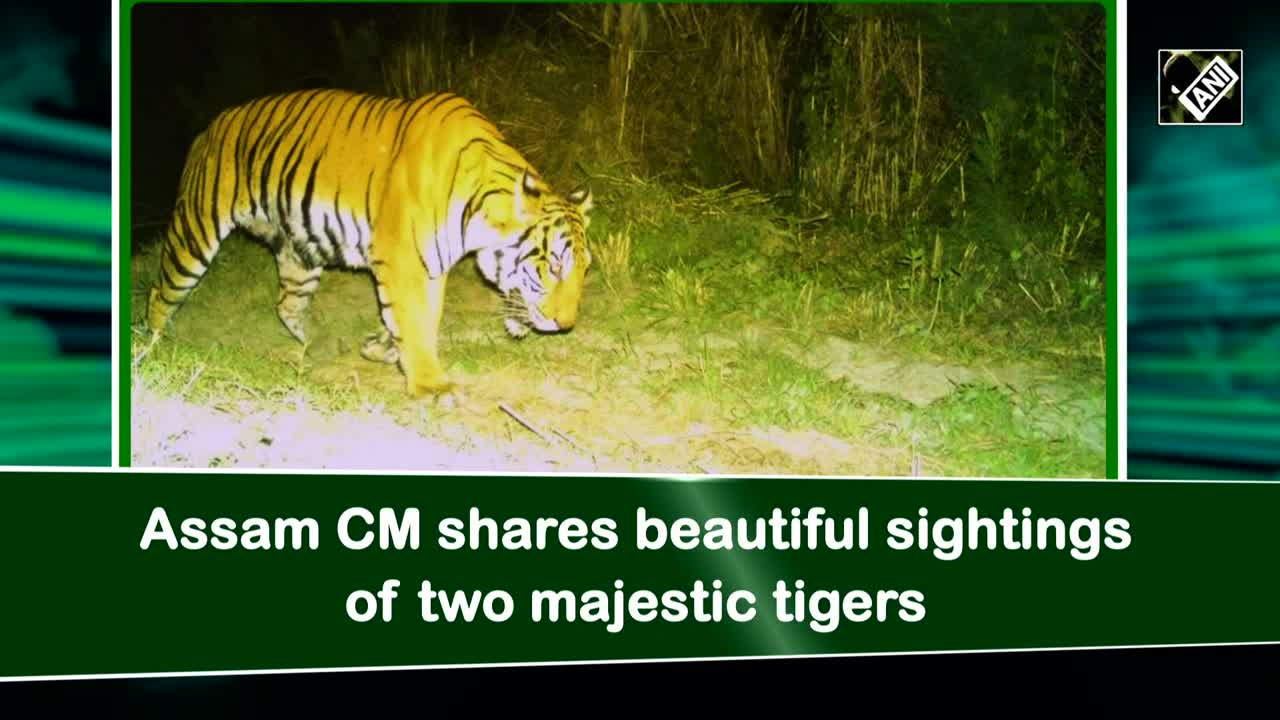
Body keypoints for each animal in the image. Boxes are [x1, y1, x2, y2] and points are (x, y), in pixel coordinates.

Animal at [144, 88, 594, 398]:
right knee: (160, 291)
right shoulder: (402, 260)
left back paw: (321, 343)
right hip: (196, 231)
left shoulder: (431, 265)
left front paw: (384, 349)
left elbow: (421, 319)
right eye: (555, 266)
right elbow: (414, 319)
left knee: (287, 304)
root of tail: (209, 128)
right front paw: (431, 386)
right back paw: (154, 348)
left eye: (584, 270)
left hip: (301, 253)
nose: (566, 325)